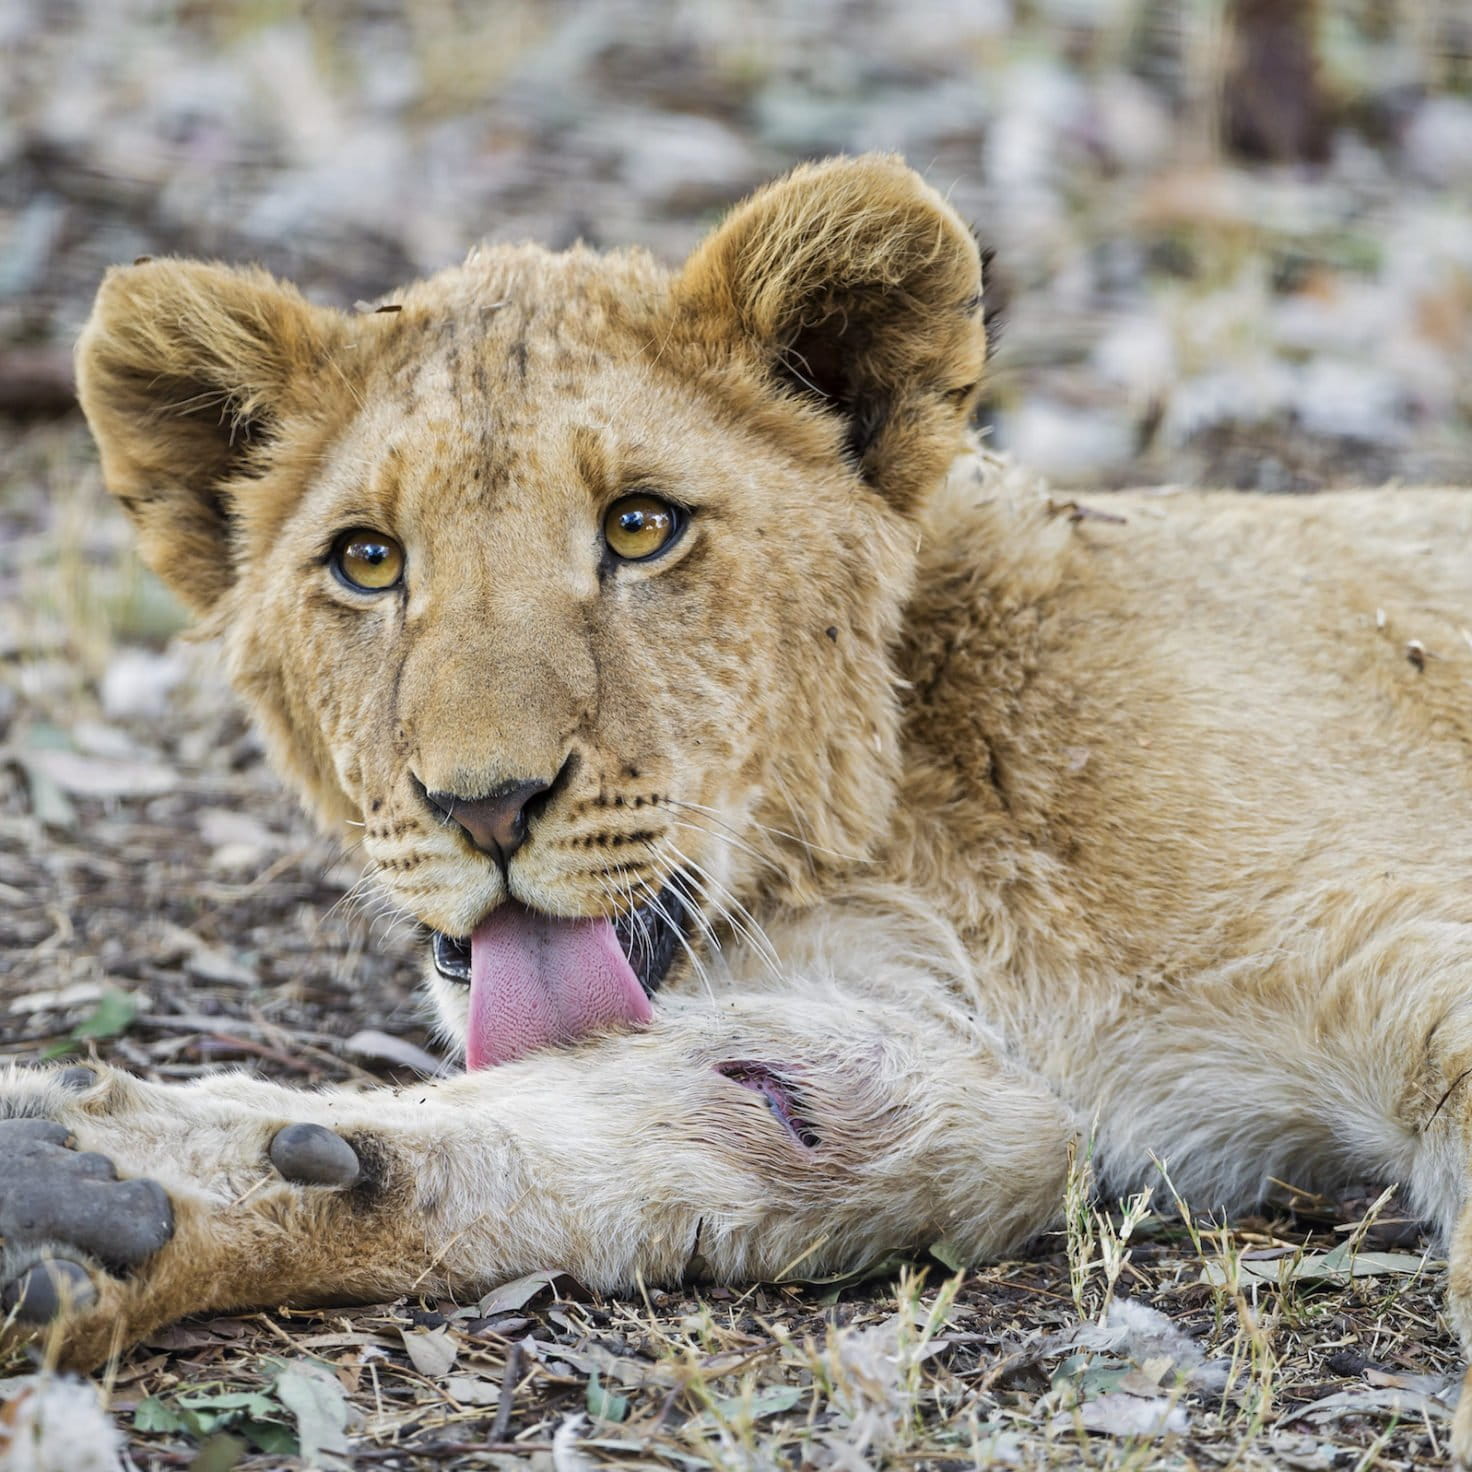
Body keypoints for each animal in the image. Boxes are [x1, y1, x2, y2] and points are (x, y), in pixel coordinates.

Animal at [4, 153, 1471, 1455]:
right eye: (367, 562)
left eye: (641, 528)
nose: (485, 805)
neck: (906, 827)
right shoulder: (945, 1076)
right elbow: (649, 1127)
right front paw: (82, 1195)